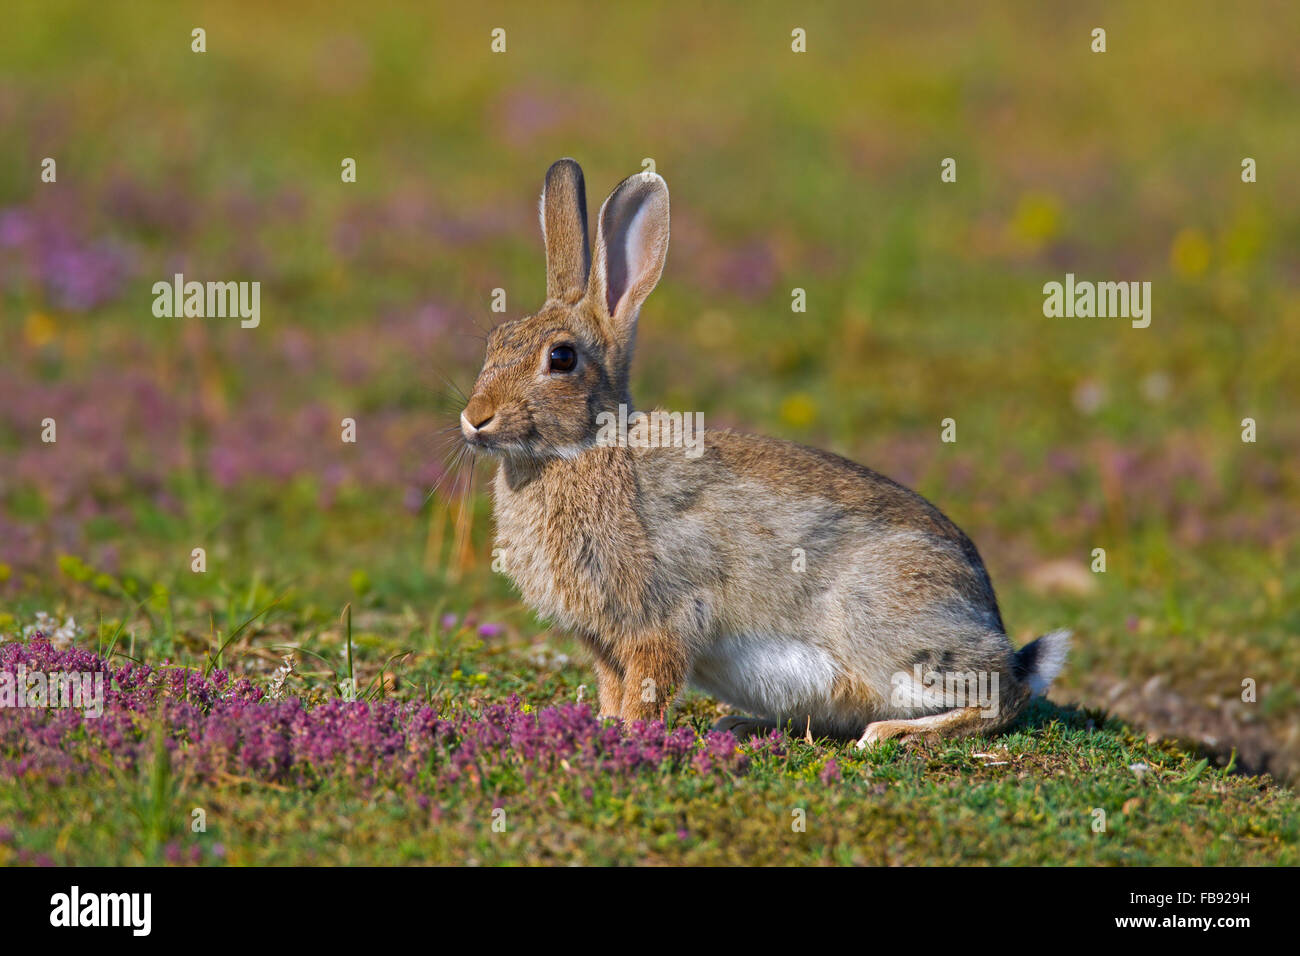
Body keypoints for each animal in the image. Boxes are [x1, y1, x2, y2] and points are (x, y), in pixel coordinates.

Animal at [460, 158, 1070, 747]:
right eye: (494, 341)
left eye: (561, 358)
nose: (474, 418)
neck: (583, 449)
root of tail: (991, 620)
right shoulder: (606, 642)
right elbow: (614, 688)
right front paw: (604, 729)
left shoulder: (663, 620)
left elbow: (648, 689)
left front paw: (629, 736)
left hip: (886, 630)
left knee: (1001, 697)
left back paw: (889, 733)